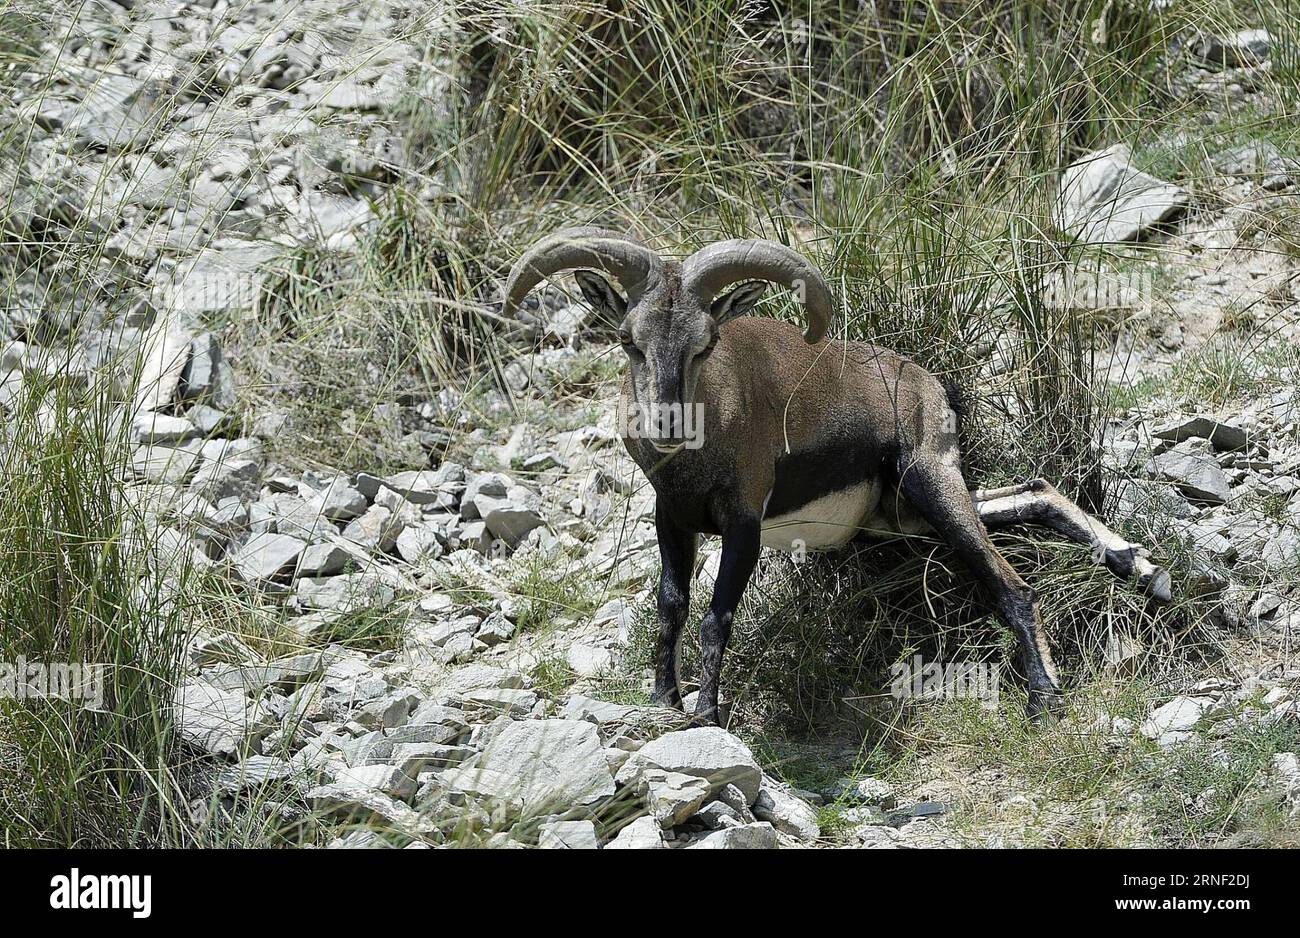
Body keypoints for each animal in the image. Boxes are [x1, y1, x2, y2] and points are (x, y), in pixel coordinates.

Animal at [504, 227, 1172, 724]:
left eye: (706, 342)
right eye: (628, 340)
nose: (667, 424)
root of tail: (929, 384)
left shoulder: (744, 521)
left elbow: (716, 616)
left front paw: (706, 713)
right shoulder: (673, 516)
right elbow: (672, 603)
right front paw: (663, 699)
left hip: (928, 479)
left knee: (1011, 581)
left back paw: (1045, 693)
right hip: (897, 515)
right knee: (1033, 492)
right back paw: (1142, 566)